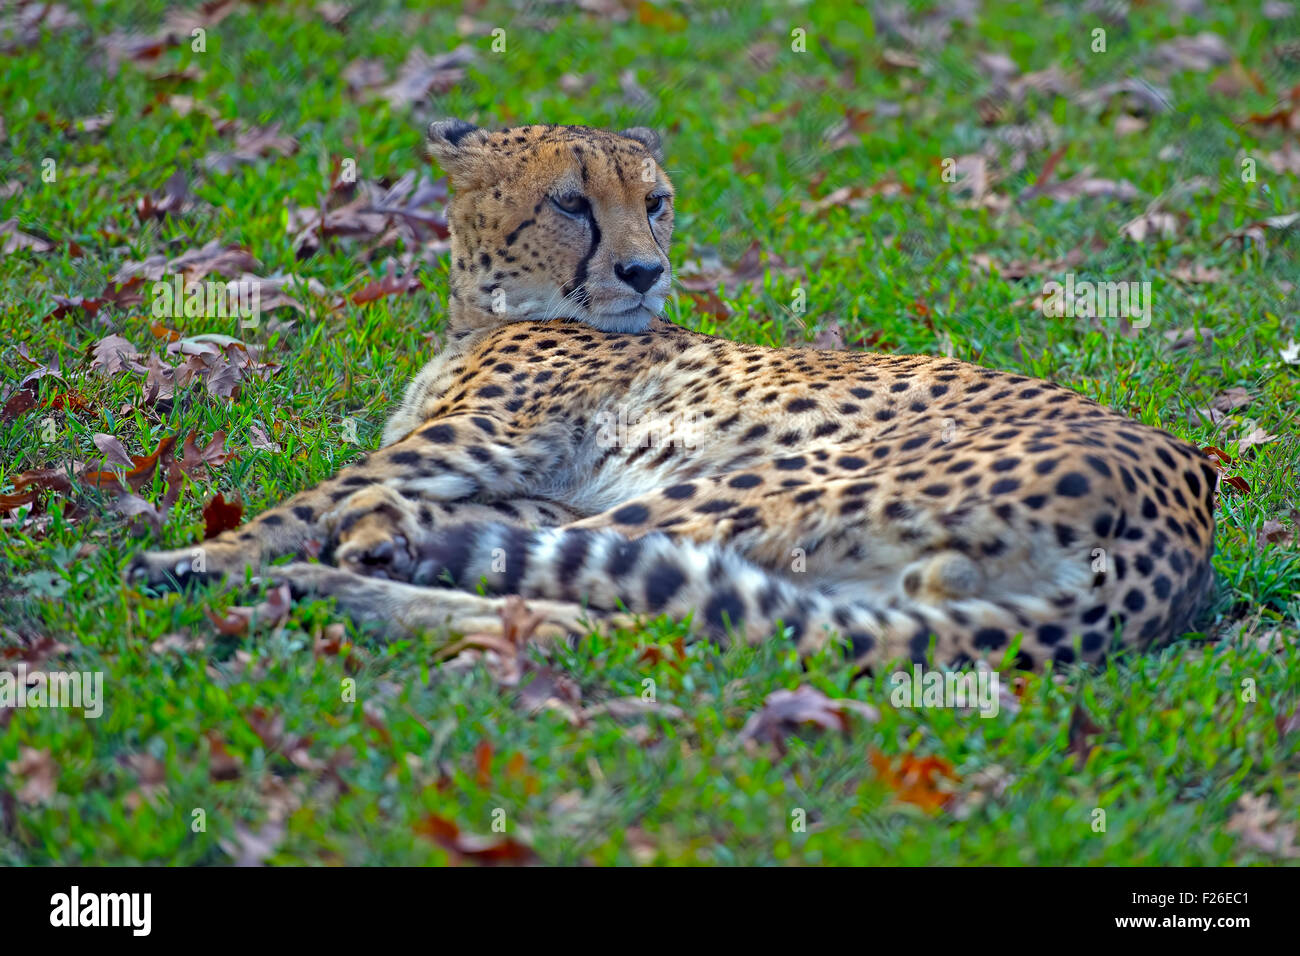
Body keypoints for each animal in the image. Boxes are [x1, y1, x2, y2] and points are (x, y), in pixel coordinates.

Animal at [128, 119, 1218, 673]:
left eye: (652, 201)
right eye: (571, 202)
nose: (646, 270)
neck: (487, 308)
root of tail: (1187, 518)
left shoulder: (474, 436)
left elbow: (324, 492)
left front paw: (203, 551)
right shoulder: (530, 479)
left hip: (760, 477)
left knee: (589, 605)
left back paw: (331, 583)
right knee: (657, 617)